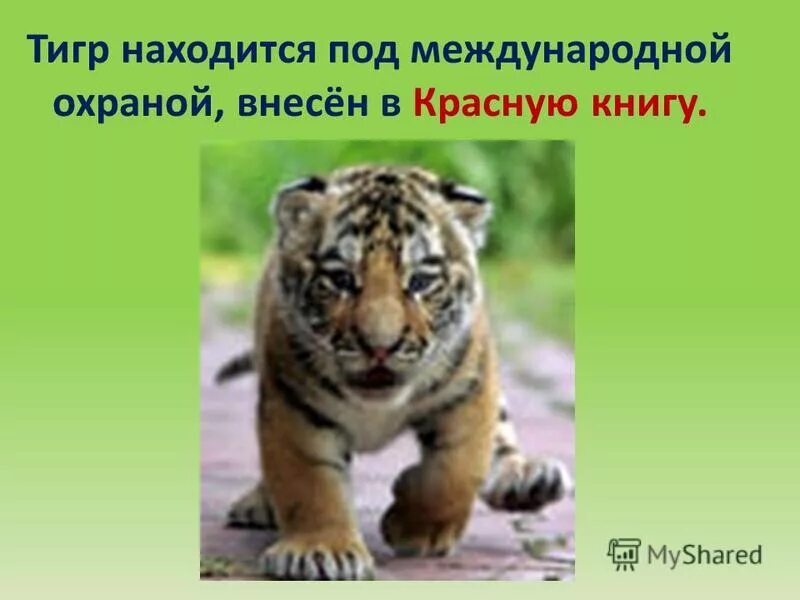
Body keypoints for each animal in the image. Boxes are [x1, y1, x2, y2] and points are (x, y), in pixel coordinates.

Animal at [216, 165, 572, 580]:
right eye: (340, 279)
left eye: (420, 282)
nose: (379, 347)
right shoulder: (293, 405)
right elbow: (310, 483)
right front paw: (320, 551)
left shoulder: (469, 393)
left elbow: (456, 471)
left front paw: (416, 528)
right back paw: (258, 504)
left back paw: (528, 479)